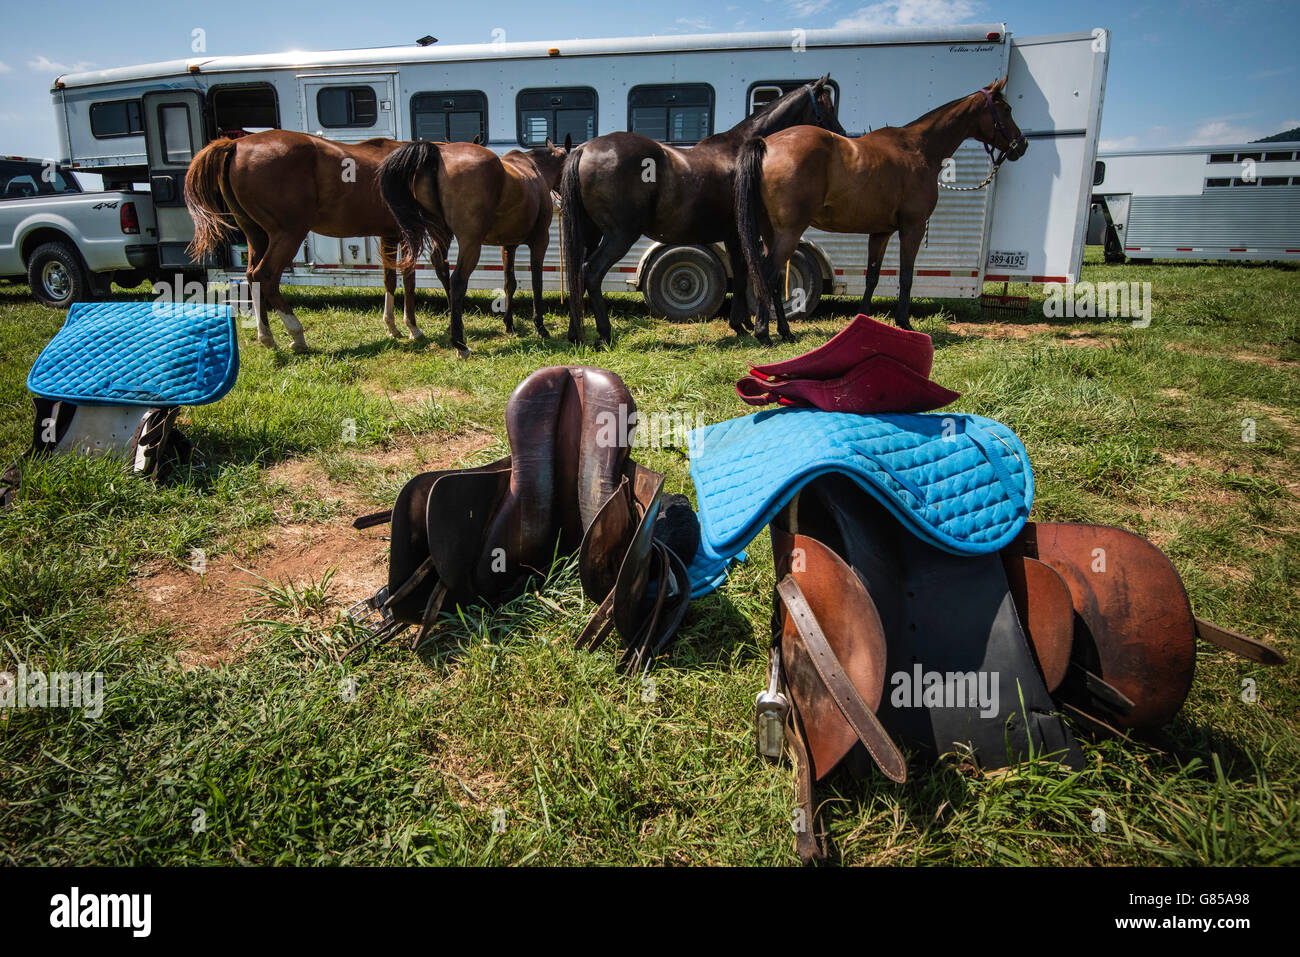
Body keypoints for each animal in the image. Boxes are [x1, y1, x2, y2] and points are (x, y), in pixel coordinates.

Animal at [186, 130, 428, 352]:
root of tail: (236, 144)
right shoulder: (409, 234)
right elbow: (409, 281)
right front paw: (413, 328)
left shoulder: (389, 235)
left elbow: (389, 280)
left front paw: (392, 327)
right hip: (288, 234)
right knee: (265, 276)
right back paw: (297, 334)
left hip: (256, 234)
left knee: (251, 276)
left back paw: (267, 337)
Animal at [379, 137, 571, 356]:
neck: (535, 170)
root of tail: (438, 154)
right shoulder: (540, 241)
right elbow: (537, 283)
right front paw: (540, 327)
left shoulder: (508, 245)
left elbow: (510, 284)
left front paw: (510, 325)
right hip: (470, 243)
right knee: (457, 282)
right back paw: (459, 344)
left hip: (442, 234)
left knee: (443, 271)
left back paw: (453, 326)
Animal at [560, 76, 844, 346]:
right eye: (828, 107)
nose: (840, 136)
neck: (741, 151)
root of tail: (584, 150)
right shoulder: (743, 233)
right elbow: (748, 274)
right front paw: (749, 327)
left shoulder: (733, 235)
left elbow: (741, 273)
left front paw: (741, 325)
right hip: (620, 235)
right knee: (591, 273)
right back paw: (604, 333)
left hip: (591, 234)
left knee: (577, 274)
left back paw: (576, 334)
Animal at [736, 77, 1028, 343]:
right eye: (1006, 109)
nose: (1021, 145)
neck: (918, 148)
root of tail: (766, 144)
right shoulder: (913, 228)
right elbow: (906, 276)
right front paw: (904, 322)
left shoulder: (880, 233)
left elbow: (873, 277)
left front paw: (862, 320)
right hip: (790, 232)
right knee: (767, 273)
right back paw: (764, 333)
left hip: (771, 232)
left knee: (773, 279)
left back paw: (785, 332)